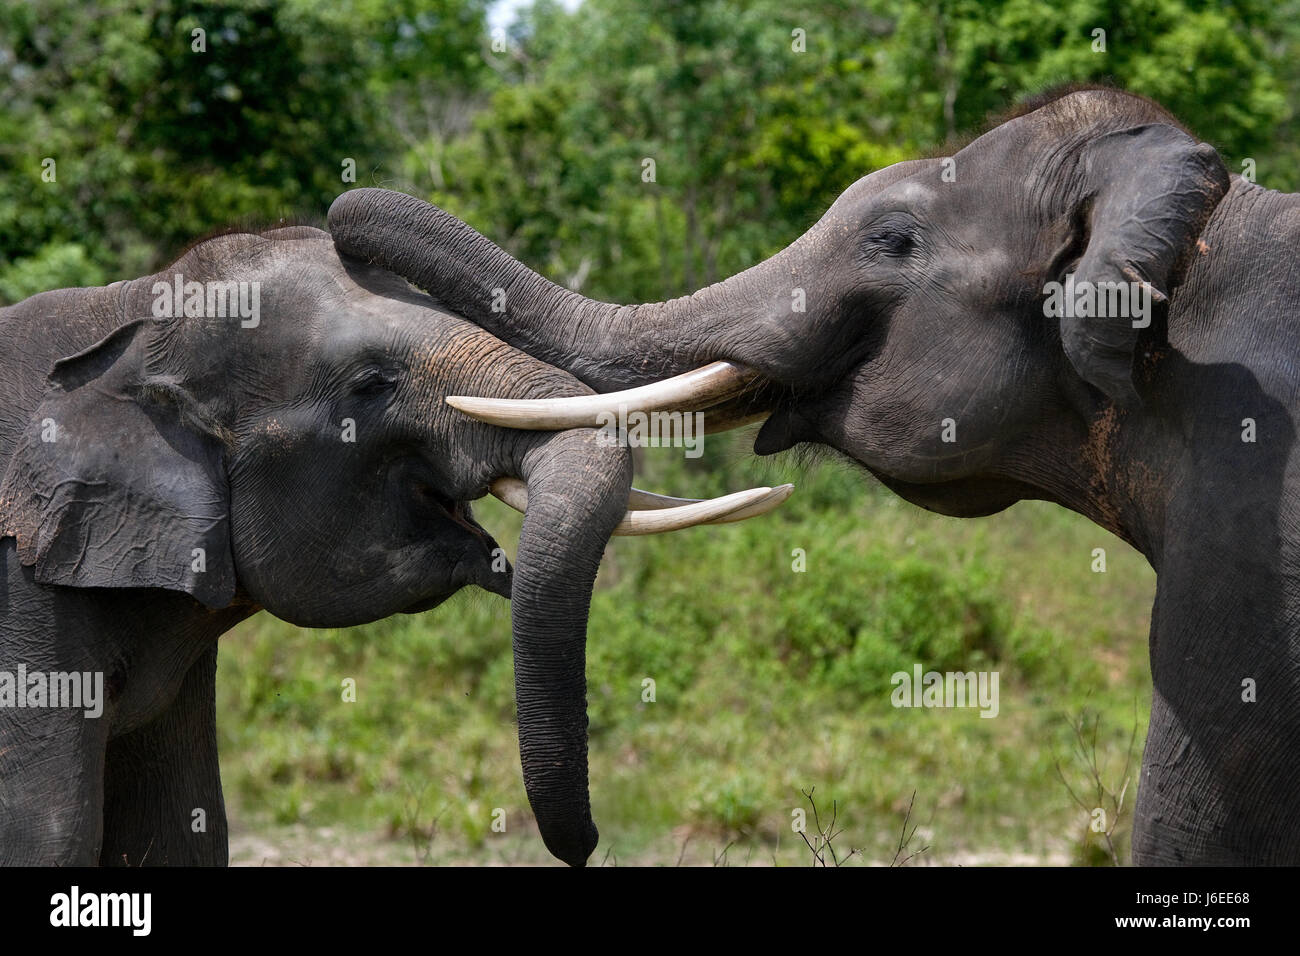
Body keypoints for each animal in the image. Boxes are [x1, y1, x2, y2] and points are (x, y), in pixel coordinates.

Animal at [0, 223, 788, 867]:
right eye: (372, 385)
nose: (585, 848)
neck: (129, 321)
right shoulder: (26, 611)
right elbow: (49, 835)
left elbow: (179, 830)